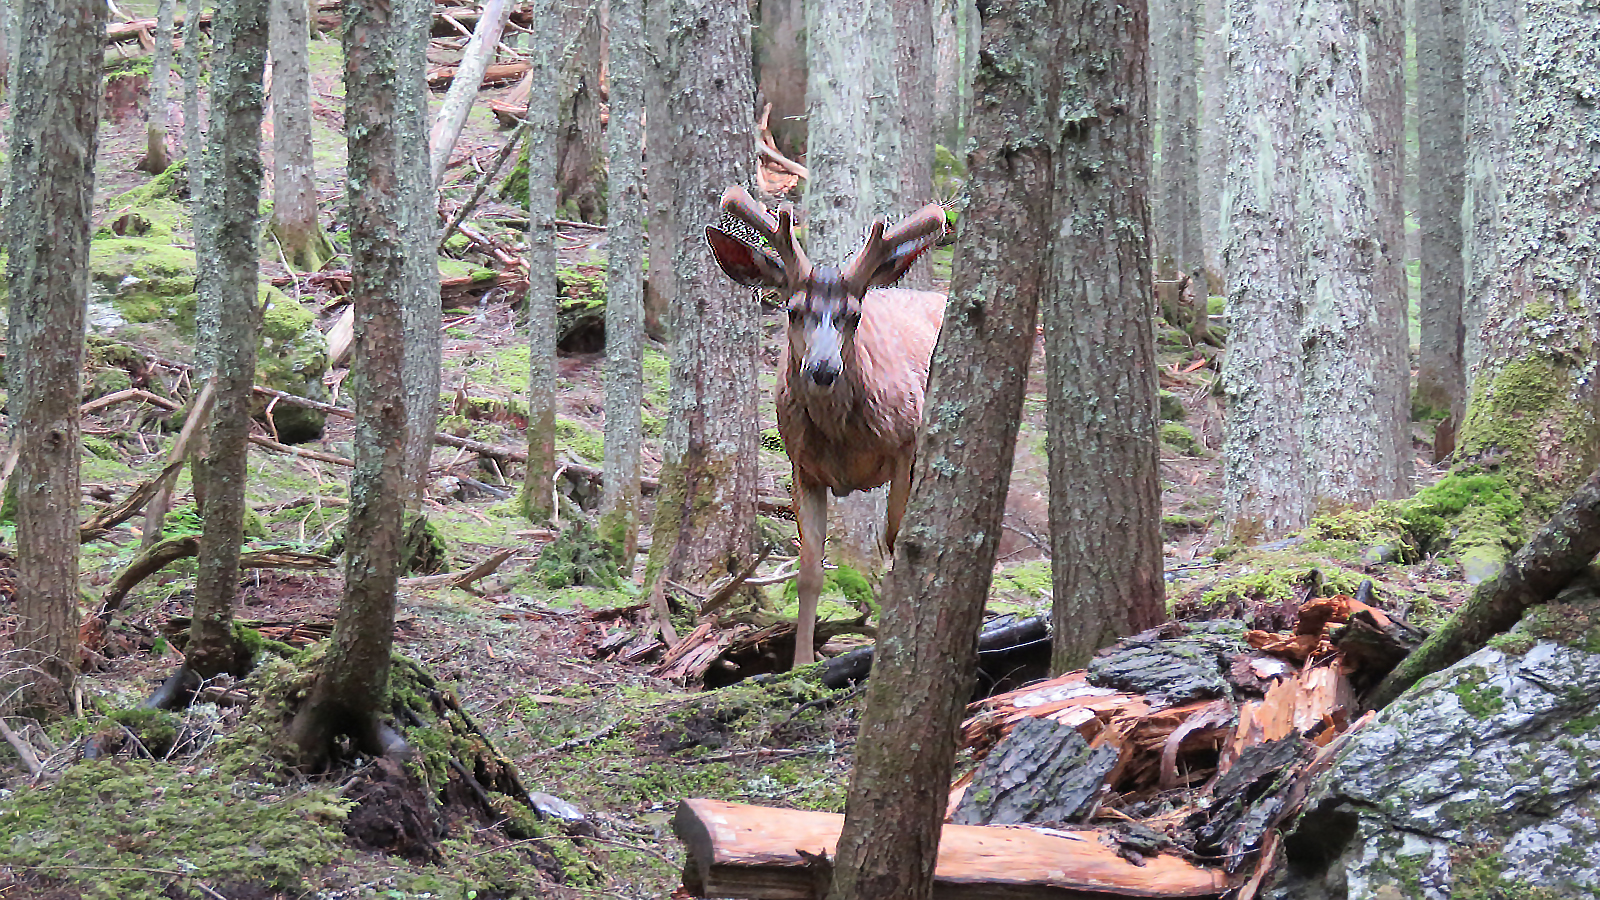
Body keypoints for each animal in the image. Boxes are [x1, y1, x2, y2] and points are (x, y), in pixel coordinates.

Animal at [705, 185, 948, 667]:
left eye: (853, 315)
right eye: (793, 309)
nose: (823, 369)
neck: (841, 440)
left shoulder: (905, 446)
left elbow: (896, 545)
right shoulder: (802, 468)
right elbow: (809, 570)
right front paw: (800, 662)